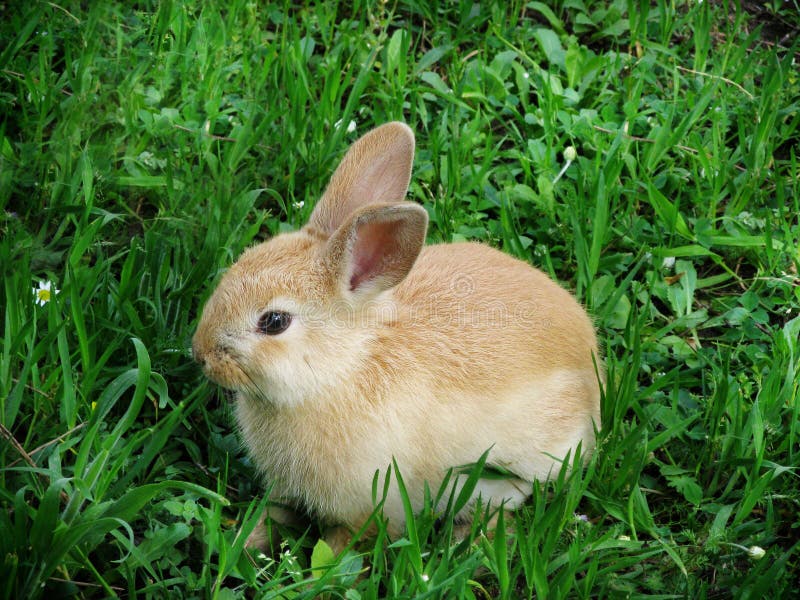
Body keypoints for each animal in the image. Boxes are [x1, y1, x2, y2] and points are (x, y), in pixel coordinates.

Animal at [192, 122, 603, 552]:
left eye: (274, 322)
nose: (201, 353)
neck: (341, 368)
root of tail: (594, 364)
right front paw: (243, 540)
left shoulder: (372, 502)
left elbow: (345, 541)